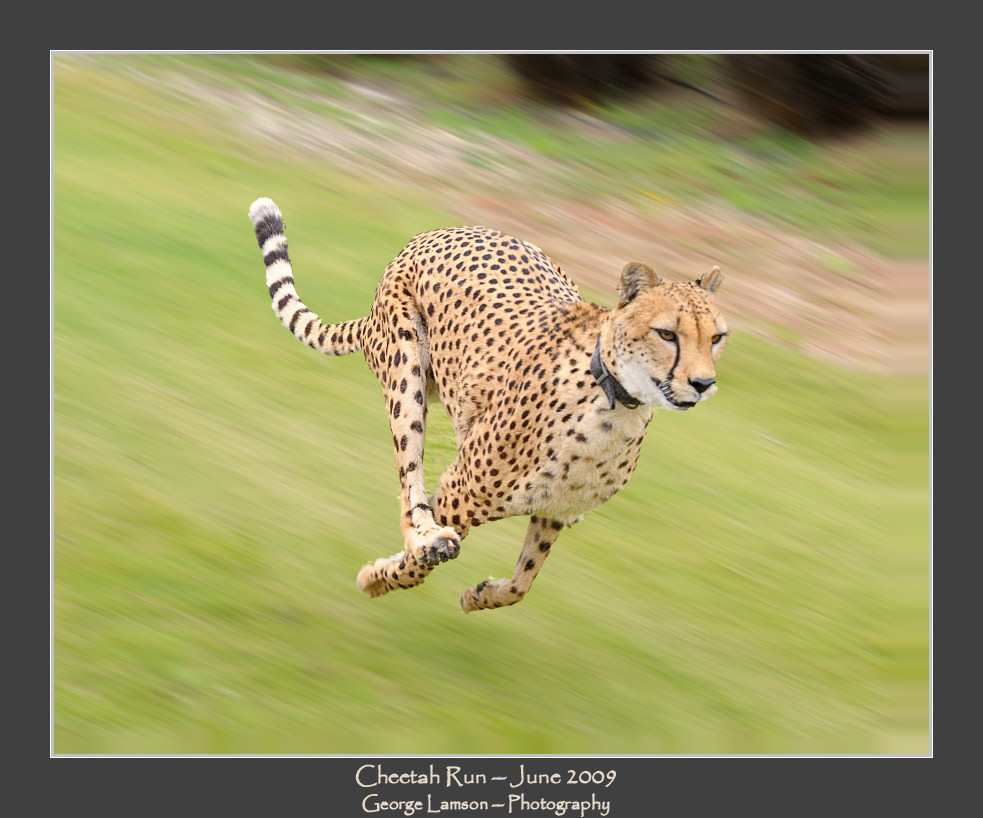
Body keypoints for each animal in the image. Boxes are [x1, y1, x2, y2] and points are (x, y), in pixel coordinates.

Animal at [248, 197, 728, 612]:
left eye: (717, 337)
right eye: (667, 334)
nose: (703, 383)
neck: (617, 403)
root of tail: (441, 232)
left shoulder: (555, 513)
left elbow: (523, 582)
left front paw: (481, 595)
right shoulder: (461, 491)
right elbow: (418, 563)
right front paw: (379, 577)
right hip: (406, 374)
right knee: (409, 484)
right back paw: (423, 538)